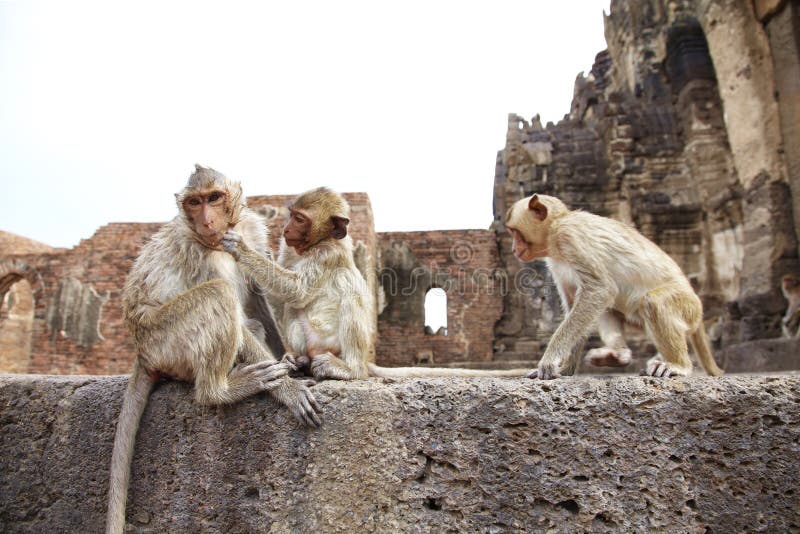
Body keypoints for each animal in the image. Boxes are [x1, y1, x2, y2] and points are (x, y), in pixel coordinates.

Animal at [106, 165, 322, 534]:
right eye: (194, 202)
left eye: (214, 197)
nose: (206, 220)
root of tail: (142, 353)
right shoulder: (198, 253)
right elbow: (230, 299)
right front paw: (289, 390)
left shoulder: (251, 231)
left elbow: (257, 296)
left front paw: (290, 360)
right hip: (165, 340)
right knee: (217, 294)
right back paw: (220, 389)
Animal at [222, 187, 529, 380]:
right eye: (291, 216)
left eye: (300, 219)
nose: (286, 229)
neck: (313, 246)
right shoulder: (290, 249)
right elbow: (286, 294)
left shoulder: (327, 255)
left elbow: (296, 290)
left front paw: (241, 248)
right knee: (295, 313)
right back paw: (300, 361)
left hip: (342, 348)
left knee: (349, 300)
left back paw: (349, 370)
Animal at [504, 193, 723, 379]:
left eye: (515, 232)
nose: (513, 249)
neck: (555, 228)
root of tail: (699, 312)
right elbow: (579, 303)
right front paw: (565, 368)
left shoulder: (570, 237)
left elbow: (600, 290)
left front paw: (549, 361)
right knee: (606, 308)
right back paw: (618, 355)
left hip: (687, 307)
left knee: (653, 301)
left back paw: (678, 365)